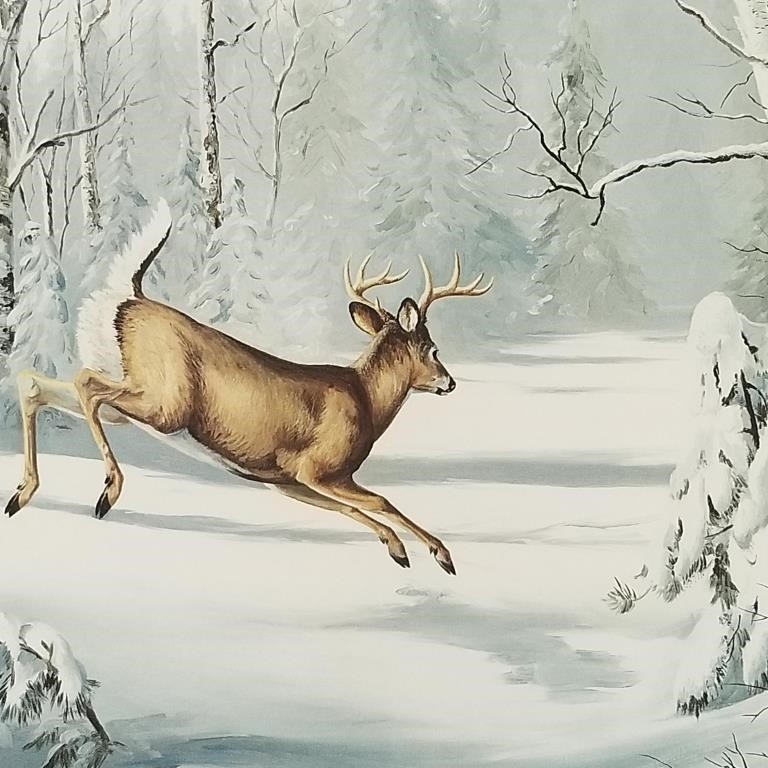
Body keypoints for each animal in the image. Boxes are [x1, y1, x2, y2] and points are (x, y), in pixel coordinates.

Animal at [3, 200, 492, 574]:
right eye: (432, 348)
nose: (449, 382)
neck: (366, 399)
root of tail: (130, 298)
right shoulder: (319, 468)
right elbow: (381, 501)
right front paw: (428, 553)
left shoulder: (286, 481)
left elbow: (354, 509)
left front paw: (412, 551)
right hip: (165, 402)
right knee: (85, 383)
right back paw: (108, 490)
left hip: (131, 402)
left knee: (35, 382)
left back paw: (21, 495)